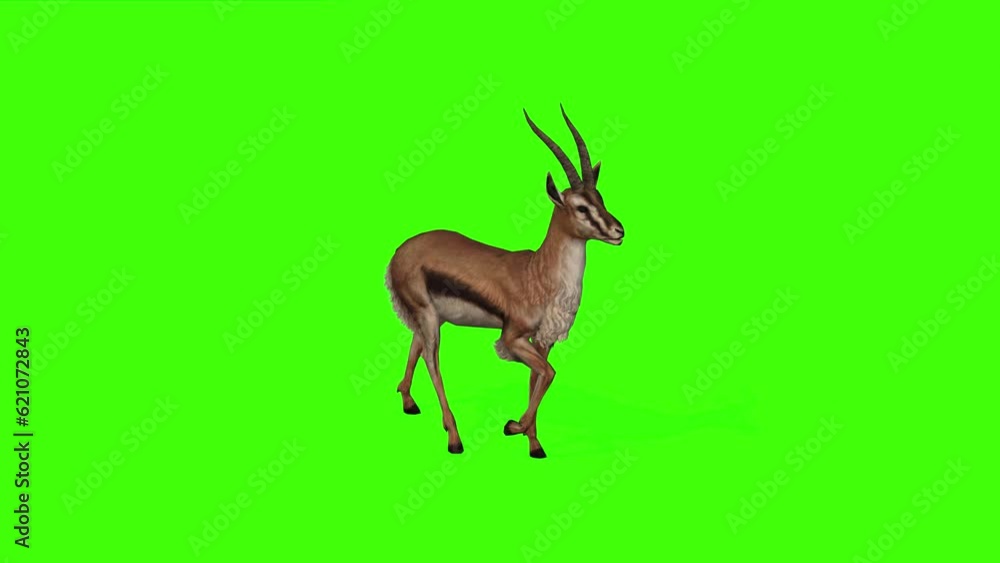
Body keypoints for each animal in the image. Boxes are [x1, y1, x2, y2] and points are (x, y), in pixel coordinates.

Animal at [385, 106, 625, 458]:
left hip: (433, 317)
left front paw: (535, 445)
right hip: (428, 316)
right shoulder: (511, 337)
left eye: (600, 198)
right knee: (432, 358)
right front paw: (514, 427)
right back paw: (454, 438)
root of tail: (398, 253)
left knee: (416, 345)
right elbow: (549, 373)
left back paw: (409, 402)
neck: (537, 274)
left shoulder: (542, 340)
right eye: (581, 207)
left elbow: (537, 378)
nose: (619, 231)